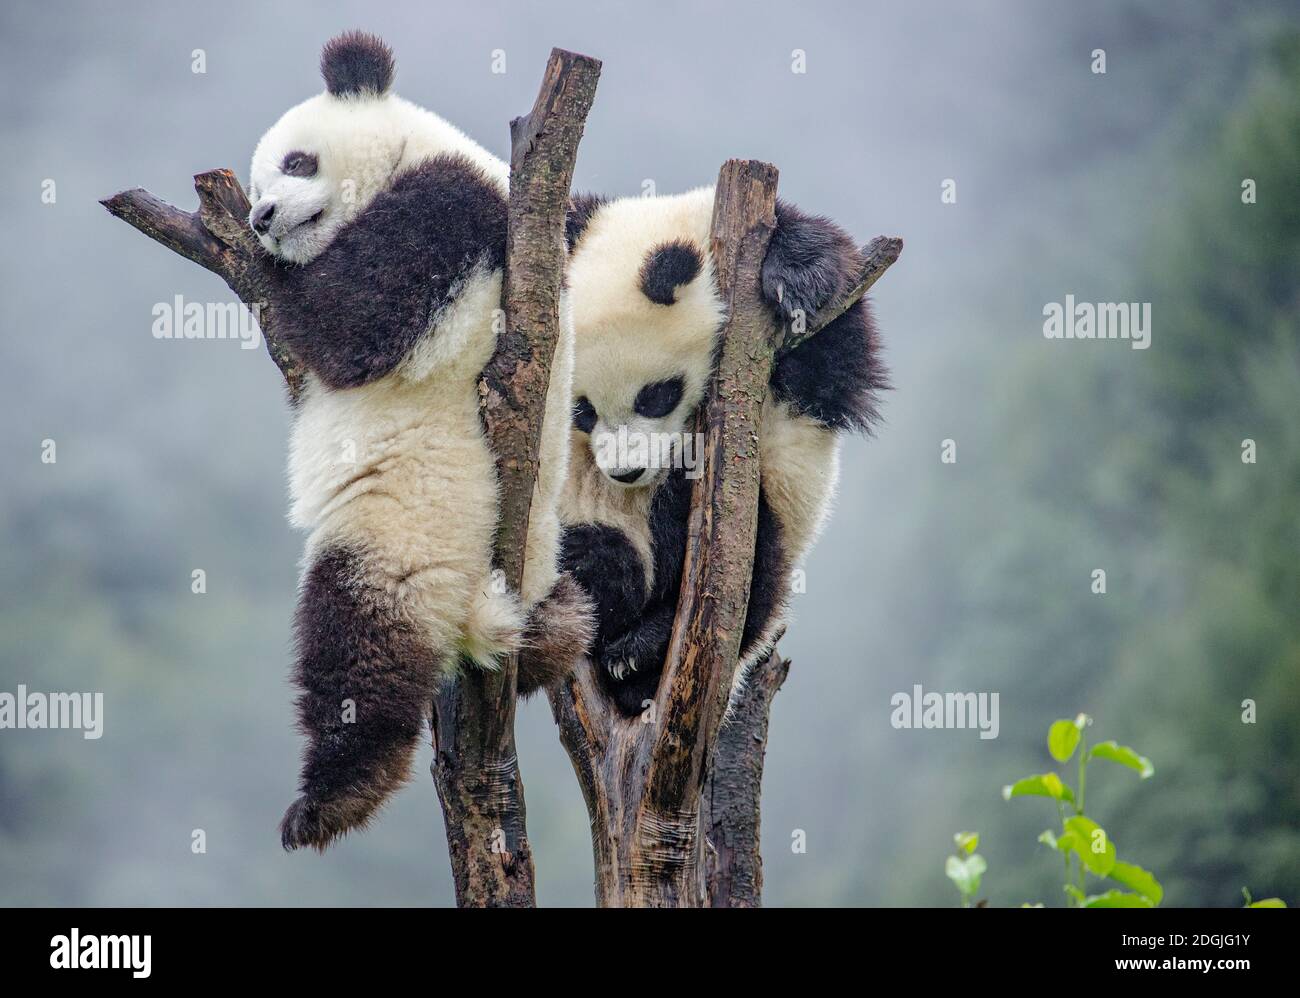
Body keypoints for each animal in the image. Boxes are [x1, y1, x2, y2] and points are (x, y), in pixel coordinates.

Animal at [249, 32, 591, 850]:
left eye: (296, 162)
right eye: (251, 185)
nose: (260, 218)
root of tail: (495, 610)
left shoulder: (450, 207)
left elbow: (352, 325)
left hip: (413, 528)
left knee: (360, 646)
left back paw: (336, 793)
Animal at [560, 187, 887, 716]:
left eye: (655, 396)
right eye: (582, 411)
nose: (627, 472)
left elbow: (834, 358)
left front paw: (796, 286)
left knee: (750, 571)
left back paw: (639, 653)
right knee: (599, 558)